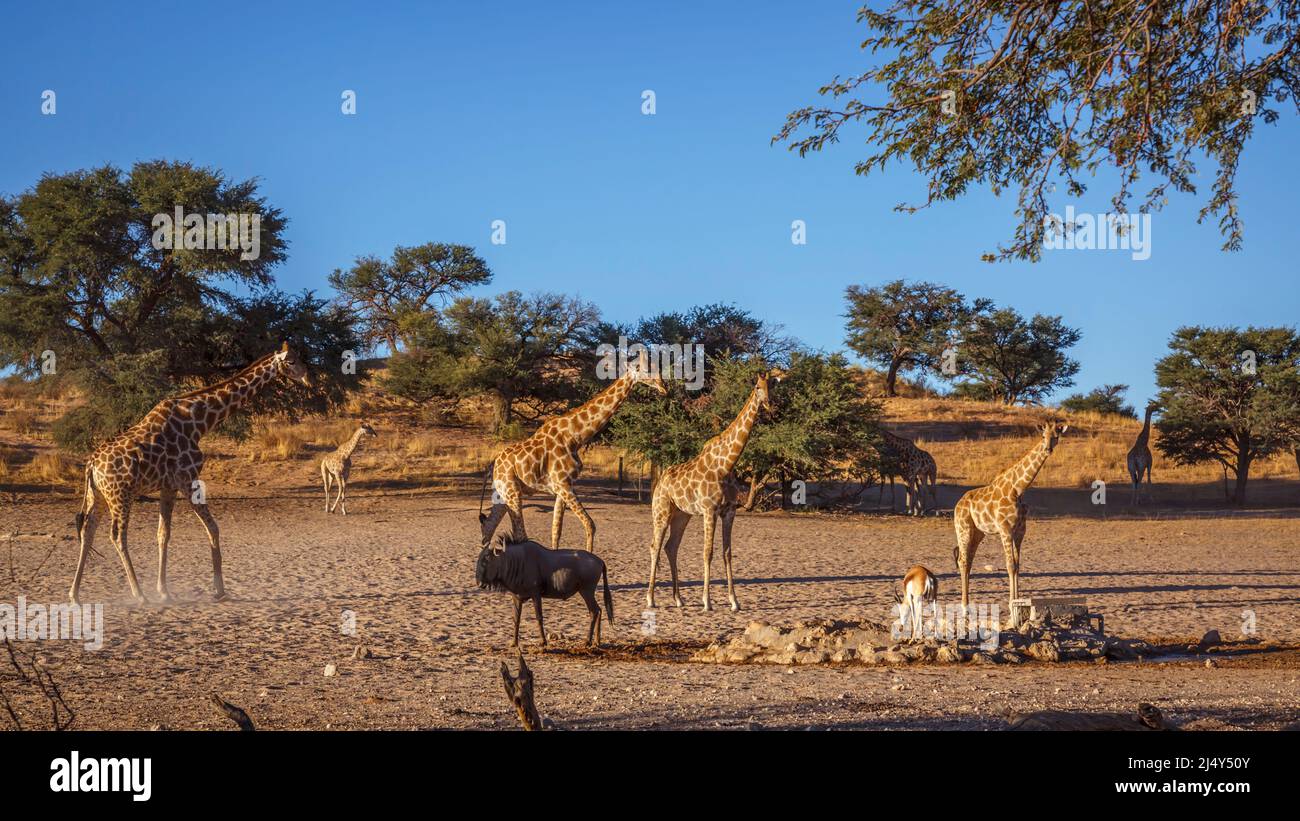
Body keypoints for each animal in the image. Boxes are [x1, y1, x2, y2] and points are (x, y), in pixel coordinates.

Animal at [69, 343, 310, 605]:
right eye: (292, 361)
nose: (307, 377)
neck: (199, 421)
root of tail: (91, 465)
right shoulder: (188, 479)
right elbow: (213, 527)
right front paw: (219, 590)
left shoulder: (169, 486)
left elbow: (163, 534)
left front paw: (164, 591)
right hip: (121, 496)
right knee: (117, 536)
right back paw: (139, 594)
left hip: (98, 496)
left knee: (87, 531)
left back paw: (75, 595)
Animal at [478, 349, 666, 551]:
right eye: (643, 368)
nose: (663, 386)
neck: (575, 436)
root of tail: (493, 465)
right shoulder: (563, 484)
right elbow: (590, 524)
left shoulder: (563, 487)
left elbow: (556, 530)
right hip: (511, 490)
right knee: (518, 533)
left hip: (502, 493)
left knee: (488, 526)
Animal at [646, 369, 781, 612]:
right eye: (757, 386)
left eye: (772, 386)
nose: (767, 403)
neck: (726, 464)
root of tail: (660, 481)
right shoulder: (709, 511)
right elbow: (707, 552)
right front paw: (707, 601)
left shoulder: (729, 512)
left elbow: (727, 553)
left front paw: (734, 601)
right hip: (661, 511)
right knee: (655, 546)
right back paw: (651, 599)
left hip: (682, 514)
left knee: (671, 547)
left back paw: (678, 599)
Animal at [953, 421, 1068, 610]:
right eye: (1043, 436)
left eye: (1056, 437)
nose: (1047, 449)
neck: (1017, 489)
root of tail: (958, 504)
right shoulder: (1005, 529)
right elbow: (1010, 565)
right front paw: (1011, 602)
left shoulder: (1020, 531)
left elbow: (1018, 565)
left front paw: (1018, 600)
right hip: (964, 529)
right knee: (962, 561)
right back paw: (964, 604)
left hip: (978, 533)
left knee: (968, 560)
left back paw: (967, 601)